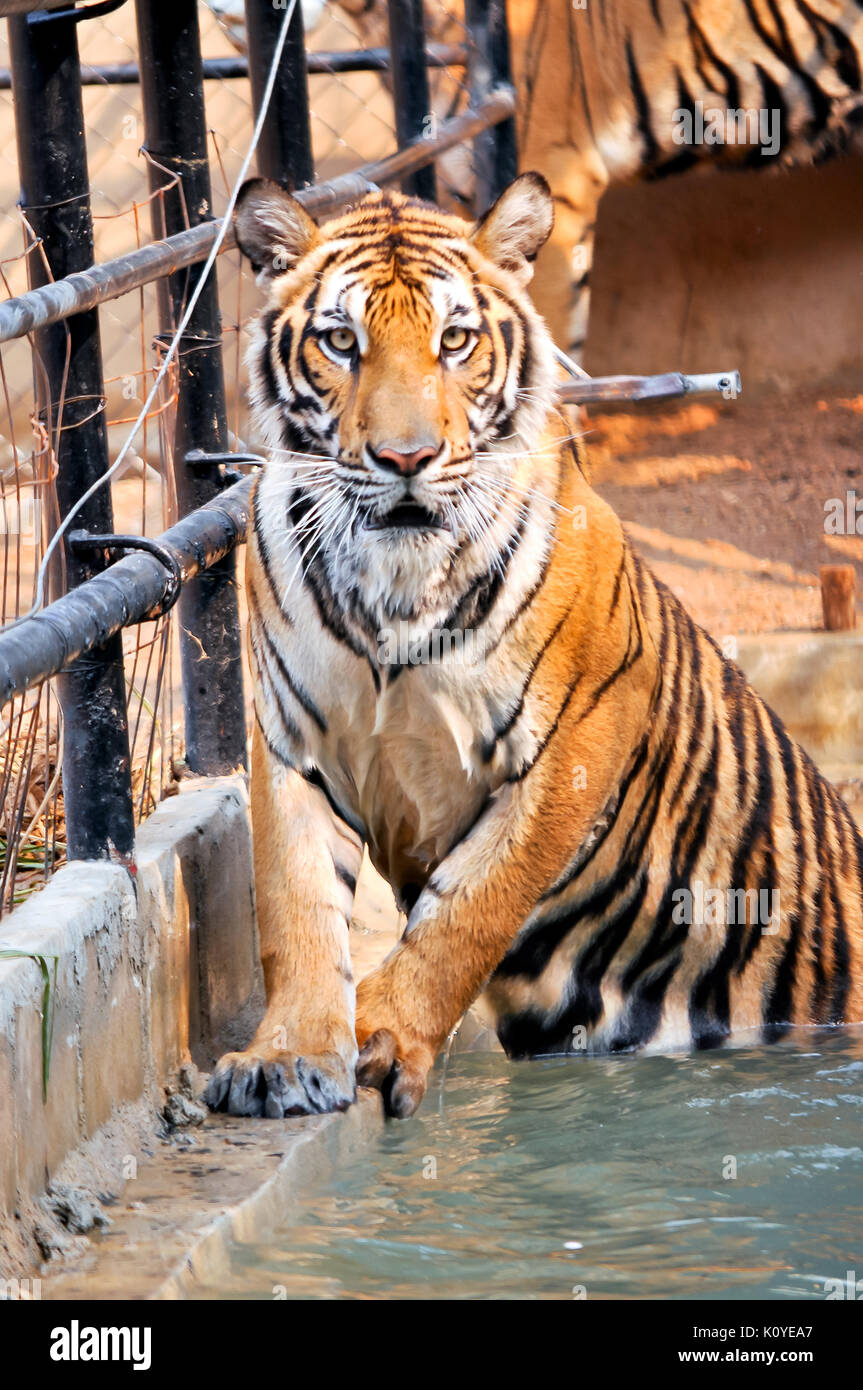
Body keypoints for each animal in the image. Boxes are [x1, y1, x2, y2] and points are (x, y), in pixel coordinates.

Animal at [203, 171, 863, 1121]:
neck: (395, 585)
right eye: (340, 341)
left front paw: (382, 1032)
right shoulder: (295, 745)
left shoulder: (568, 749)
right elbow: (295, 911)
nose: (406, 457)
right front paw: (285, 1057)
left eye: (454, 340)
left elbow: (467, 912)